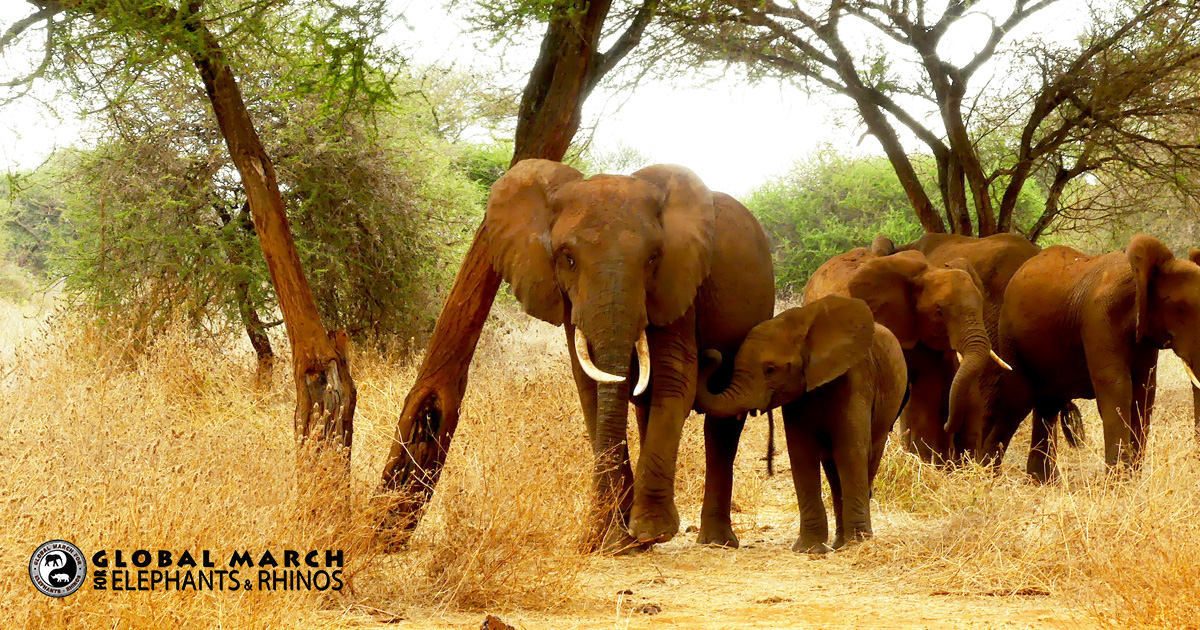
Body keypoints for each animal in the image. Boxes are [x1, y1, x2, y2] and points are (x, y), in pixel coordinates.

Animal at [482, 159, 775, 552]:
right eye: (567, 258)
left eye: (653, 258)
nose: (596, 540)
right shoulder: (568, 302)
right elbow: (590, 390)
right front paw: (612, 542)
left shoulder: (677, 285)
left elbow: (674, 381)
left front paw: (649, 532)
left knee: (723, 423)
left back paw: (715, 542)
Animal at [694, 295, 908, 553]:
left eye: (770, 370)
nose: (710, 354)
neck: (805, 329)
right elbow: (801, 452)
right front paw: (809, 549)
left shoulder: (856, 378)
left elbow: (850, 450)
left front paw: (857, 544)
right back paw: (838, 543)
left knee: (868, 455)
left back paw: (849, 541)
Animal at [974, 234, 1200, 476]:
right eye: (1181, 308)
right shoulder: (1099, 320)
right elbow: (1117, 391)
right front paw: (1119, 481)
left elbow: (1144, 395)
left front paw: (1132, 479)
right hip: (1012, 341)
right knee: (1016, 403)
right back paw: (986, 475)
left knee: (1047, 407)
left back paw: (1040, 479)